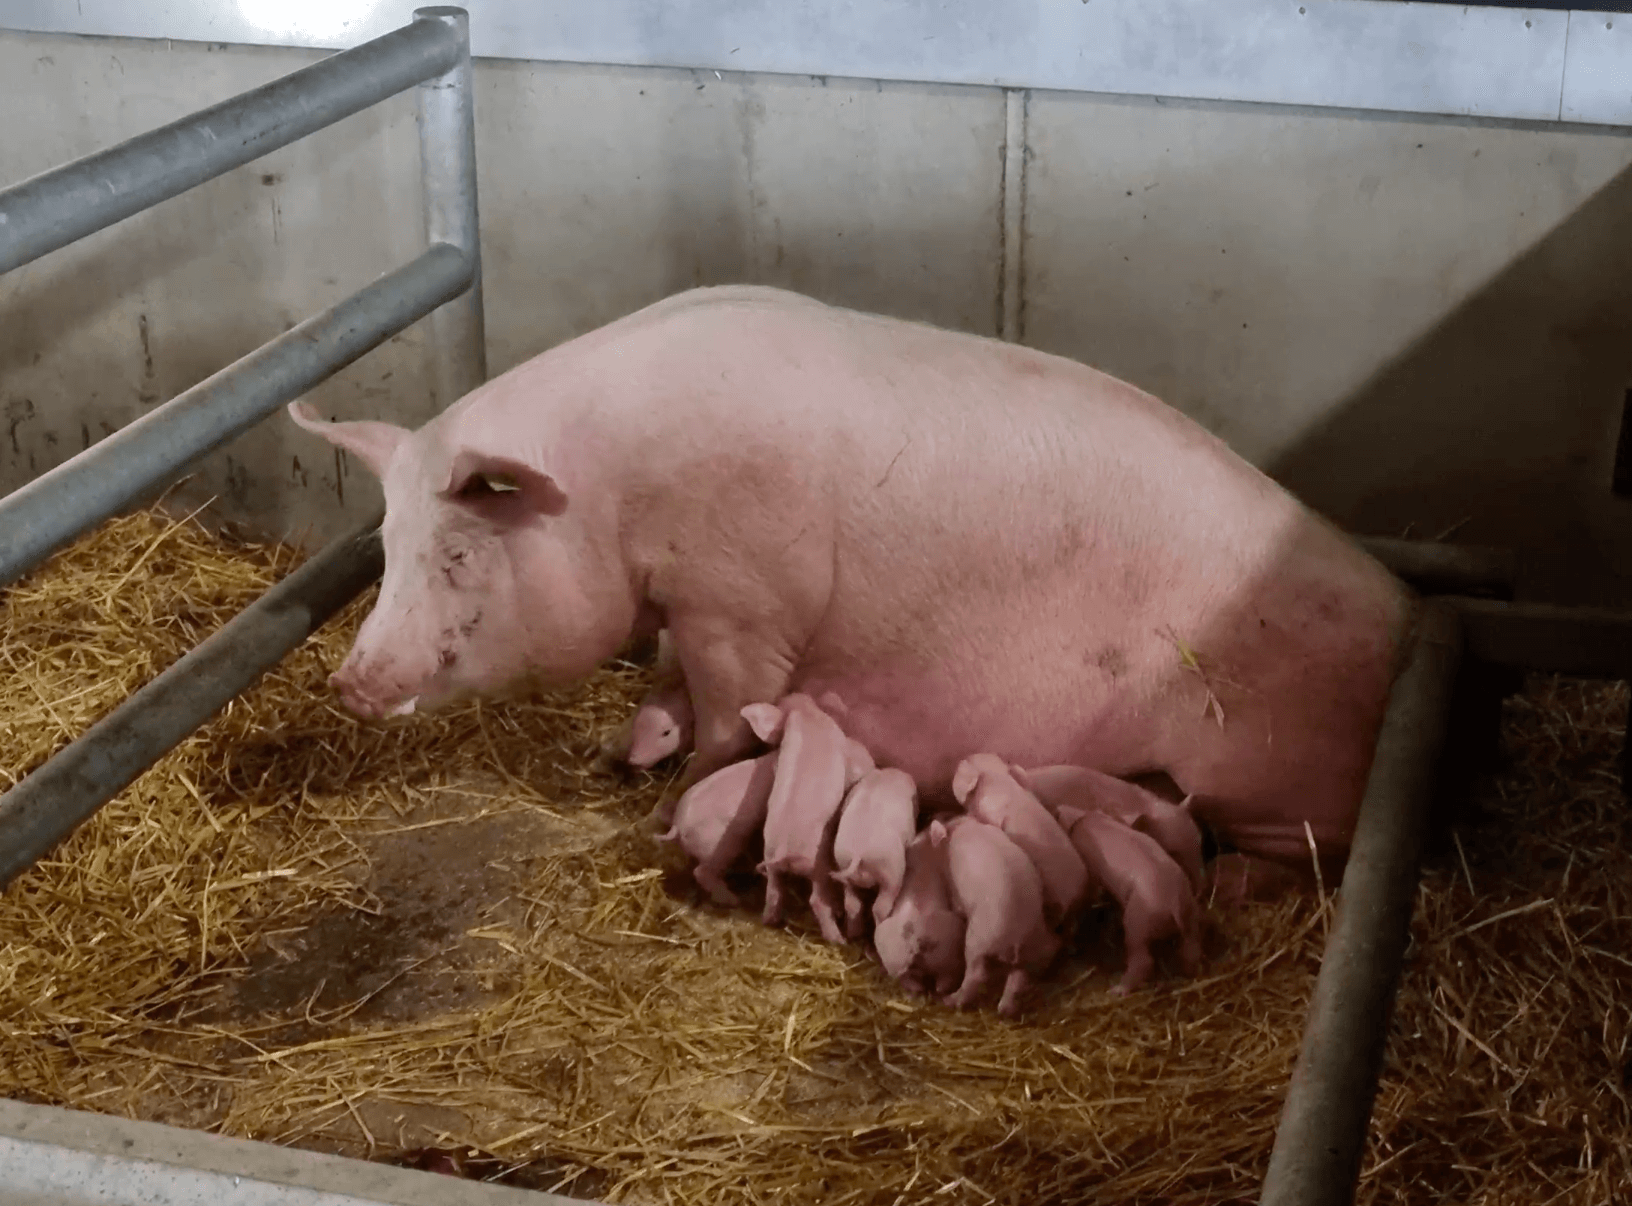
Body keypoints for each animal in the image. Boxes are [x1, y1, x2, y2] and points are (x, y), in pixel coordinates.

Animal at [741, 693, 873, 944]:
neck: (804, 714)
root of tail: (784, 852)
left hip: (770, 858)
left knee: (773, 891)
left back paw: (769, 921)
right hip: (818, 865)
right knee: (817, 900)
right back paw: (838, 939)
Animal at [830, 767, 920, 939]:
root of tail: (858, 852)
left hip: (843, 867)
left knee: (852, 904)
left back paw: (852, 935)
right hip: (891, 873)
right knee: (879, 908)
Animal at [930, 815, 1061, 1017]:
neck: (966, 827)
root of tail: (1016, 937)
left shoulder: (954, 885)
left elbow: (956, 902)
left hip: (977, 941)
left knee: (977, 974)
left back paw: (951, 1001)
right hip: (1033, 951)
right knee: (1018, 979)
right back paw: (1007, 1012)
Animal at [1056, 804, 1203, 995]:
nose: (1058, 808)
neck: (1087, 818)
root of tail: (1174, 902)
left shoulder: (1093, 871)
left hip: (1138, 923)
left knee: (1143, 960)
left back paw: (1116, 990)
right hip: (1191, 914)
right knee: (1191, 947)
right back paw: (1192, 973)